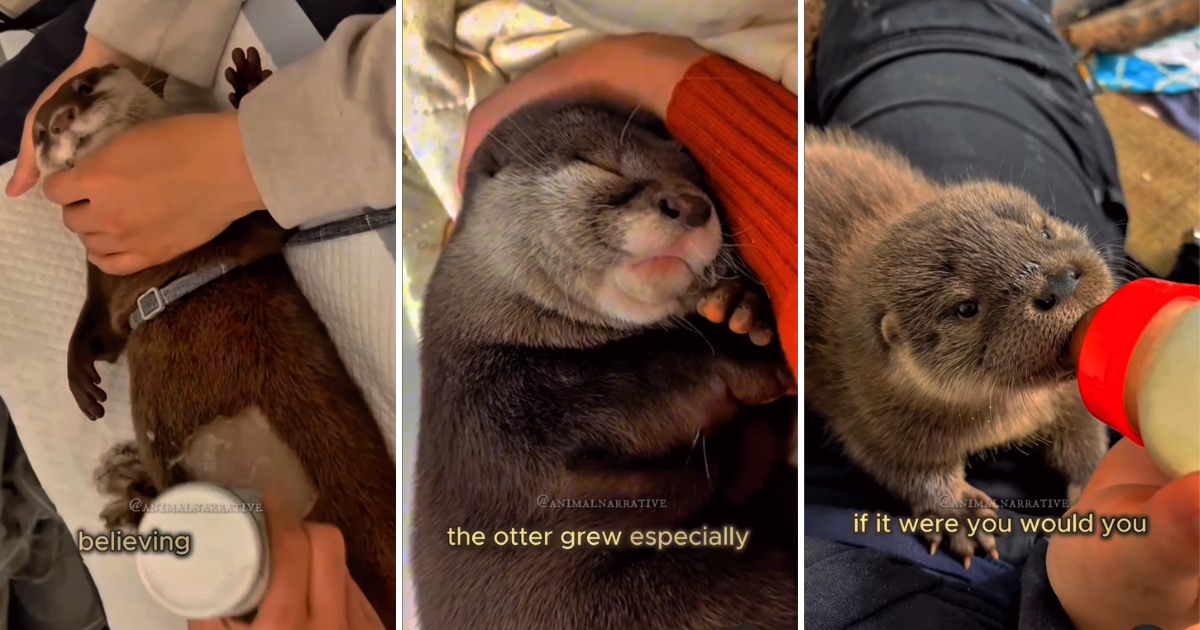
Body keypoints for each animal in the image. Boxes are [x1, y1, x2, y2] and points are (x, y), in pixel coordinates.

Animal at [37, 52, 397, 624]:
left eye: (85, 86)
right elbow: (93, 332)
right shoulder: (103, 281)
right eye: (37, 134)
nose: (59, 120)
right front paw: (82, 384)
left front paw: (247, 85)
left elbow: (268, 219)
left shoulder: (237, 232)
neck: (162, 269)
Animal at [413, 100, 799, 630]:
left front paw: (742, 308)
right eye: (597, 164)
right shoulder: (487, 419)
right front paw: (747, 355)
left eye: (695, 175)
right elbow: (631, 377)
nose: (692, 204)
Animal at [804, 126, 1112, 565]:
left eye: (1045, 230)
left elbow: (1085, 434)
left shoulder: (1064, 397)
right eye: (967, 308)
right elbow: (905, 467)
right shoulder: (868, 412)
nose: (1058, 281)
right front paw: (963, 519)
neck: (1007, 418)